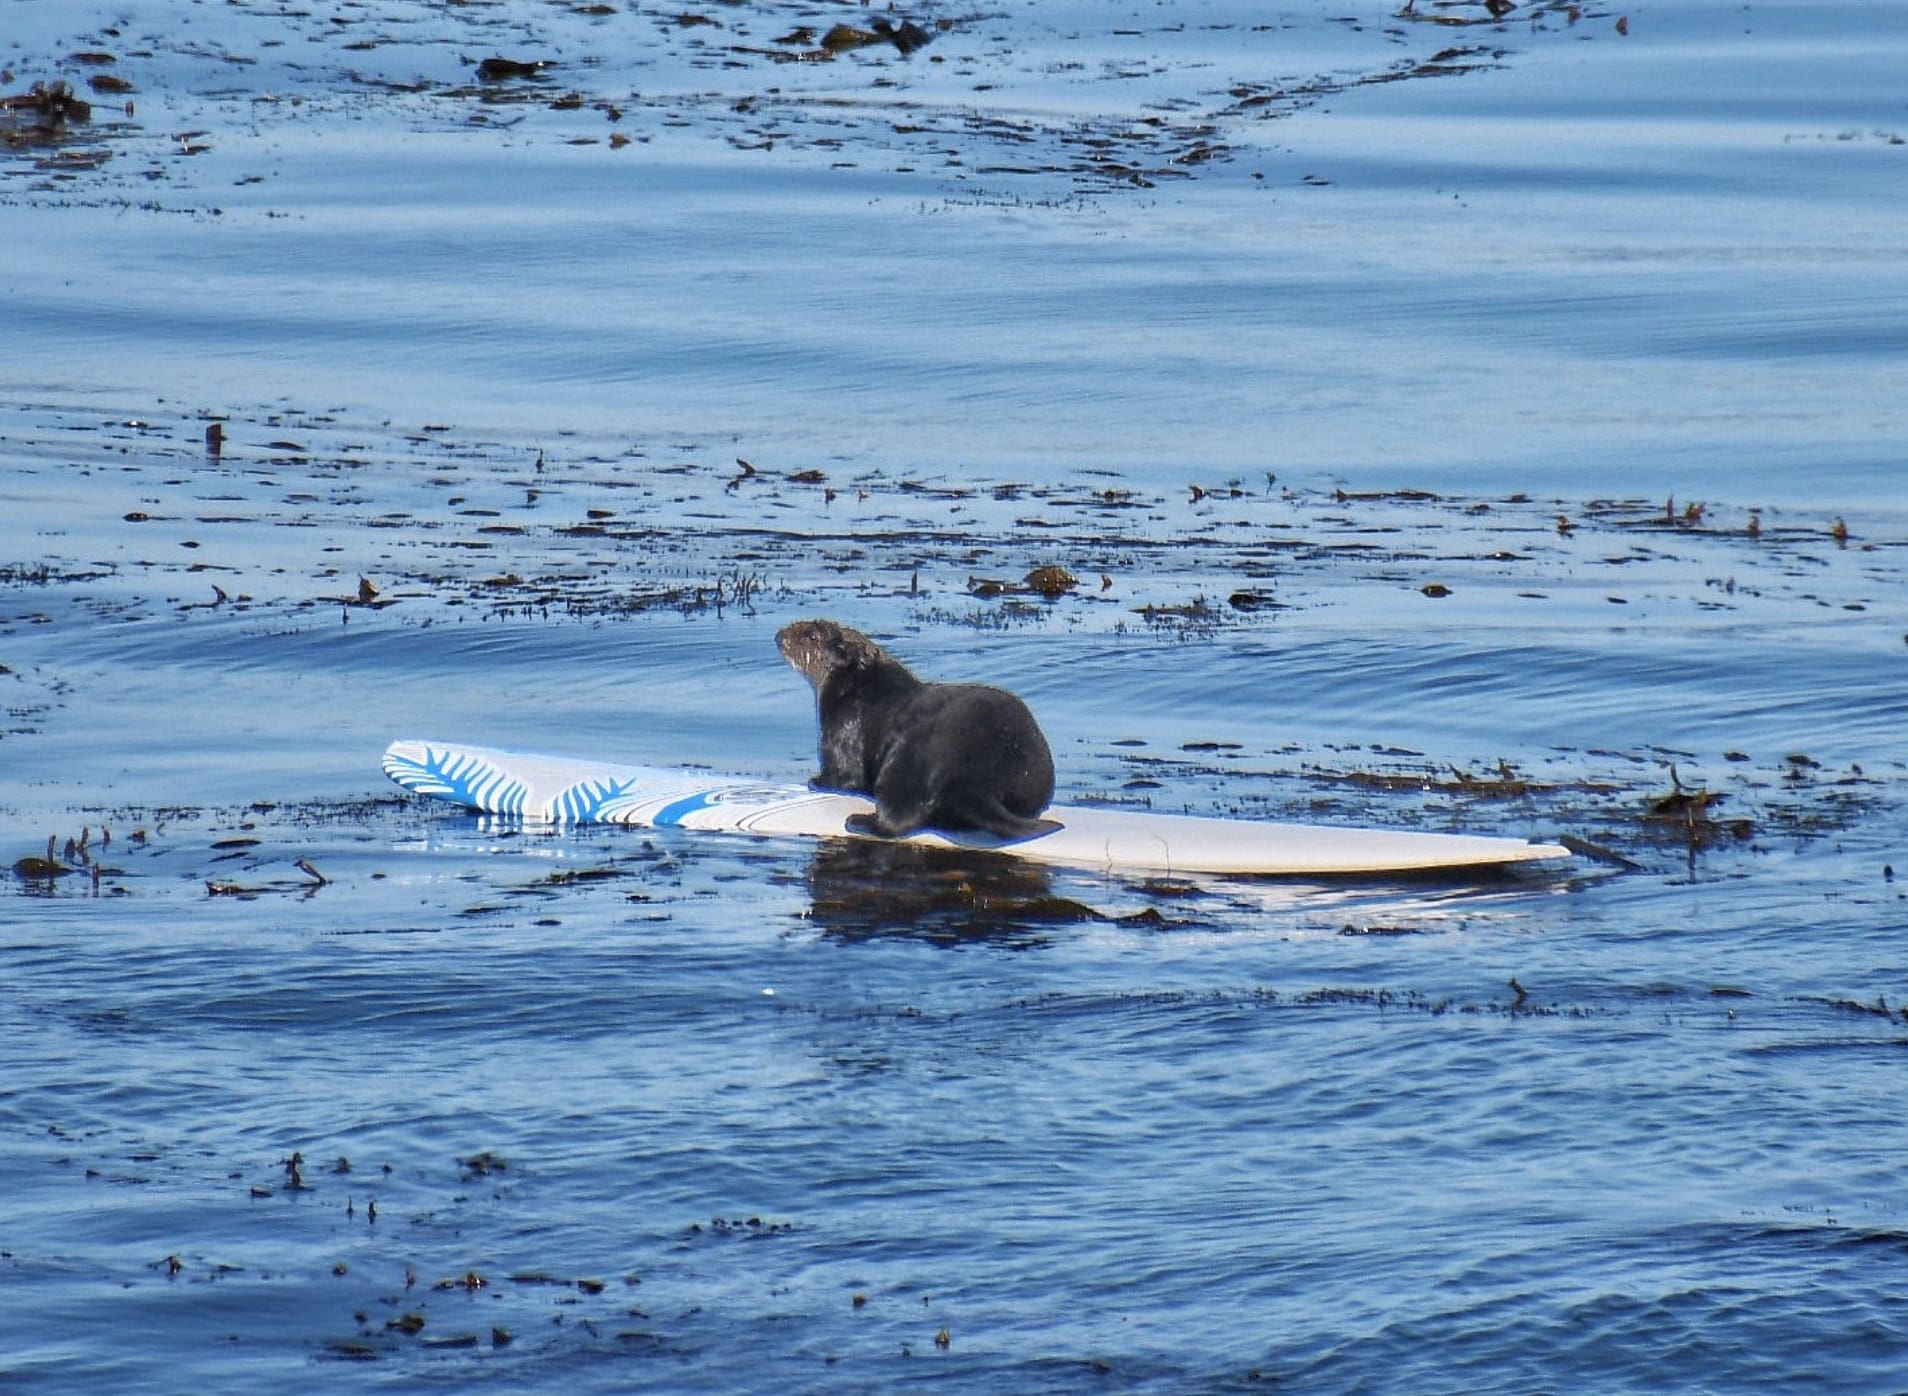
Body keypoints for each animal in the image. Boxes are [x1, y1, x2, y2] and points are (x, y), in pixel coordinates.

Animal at [777, 619, 1057, 841]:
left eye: (812, 636)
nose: (780, 635)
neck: (863, 685)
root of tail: (971, 777)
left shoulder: (842, 725)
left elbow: (845, 777)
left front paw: (817, 780)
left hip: (909, 759)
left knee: (896, 819)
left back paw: (860, 820)